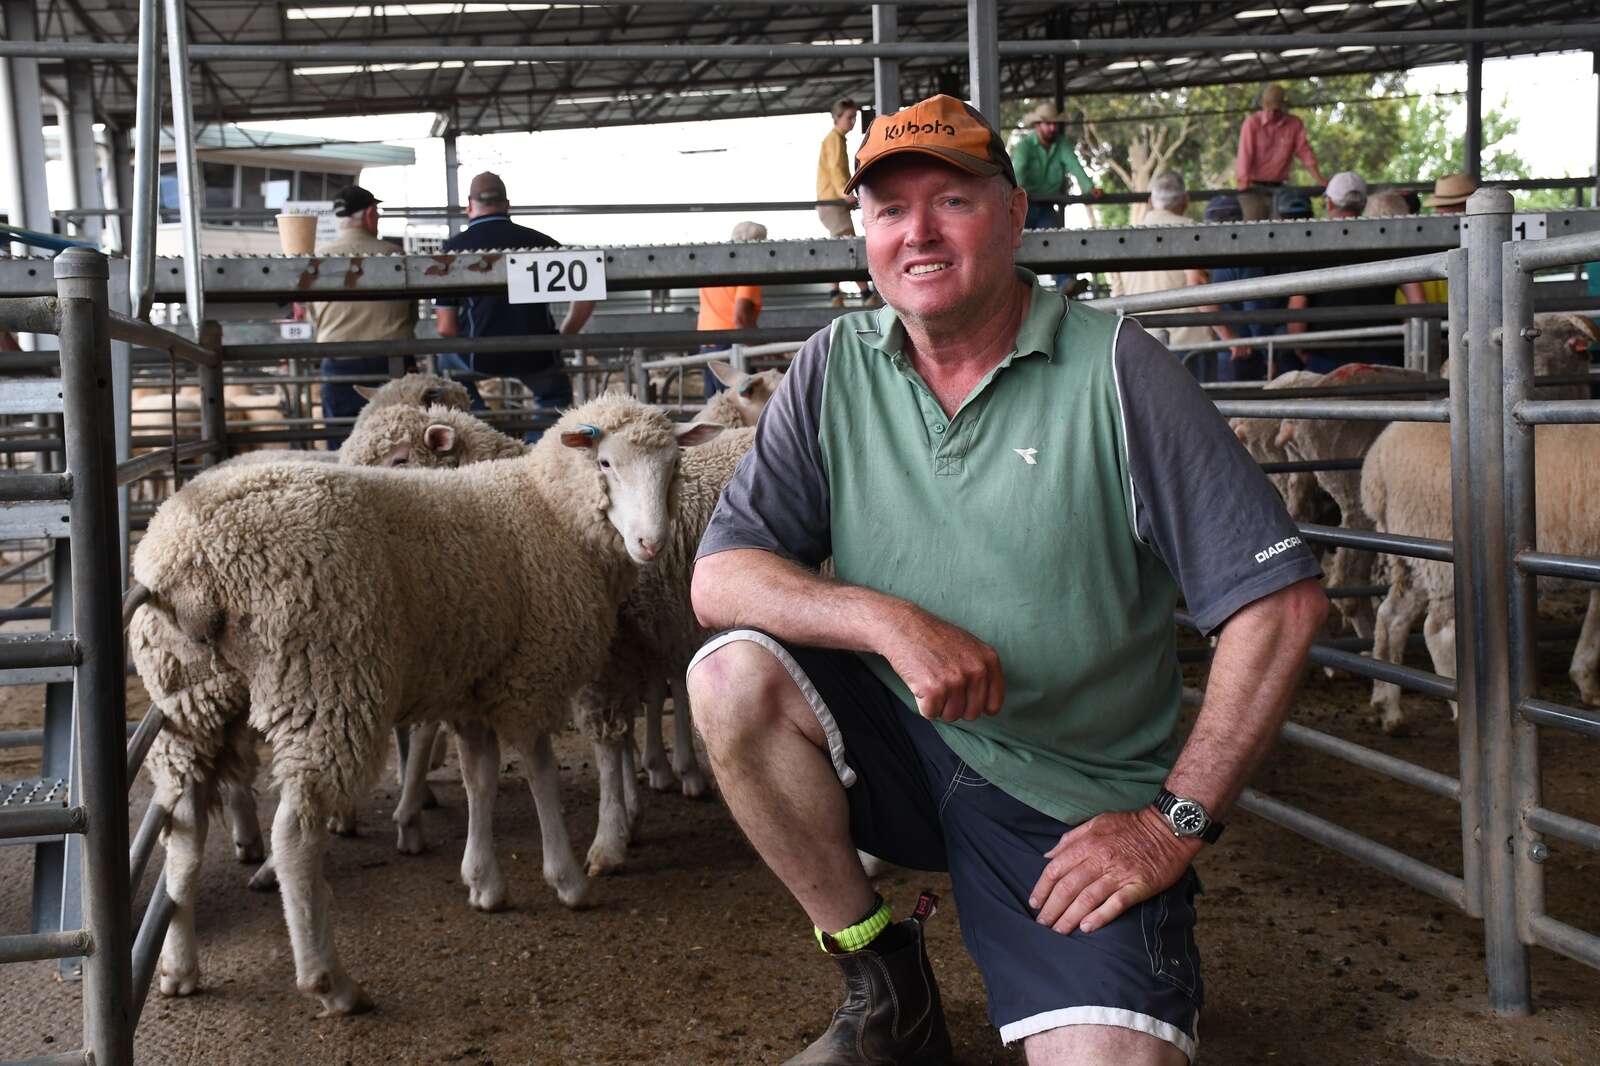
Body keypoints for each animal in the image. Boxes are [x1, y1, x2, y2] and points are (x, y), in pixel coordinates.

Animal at [1360, 420, 1600, 734]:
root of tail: (1375, 467)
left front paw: (1586, 679)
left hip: (1413, 559)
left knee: (1391, 617)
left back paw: (1387, 707)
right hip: (1442, 559)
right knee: (1438, 631)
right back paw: (1460, 710)